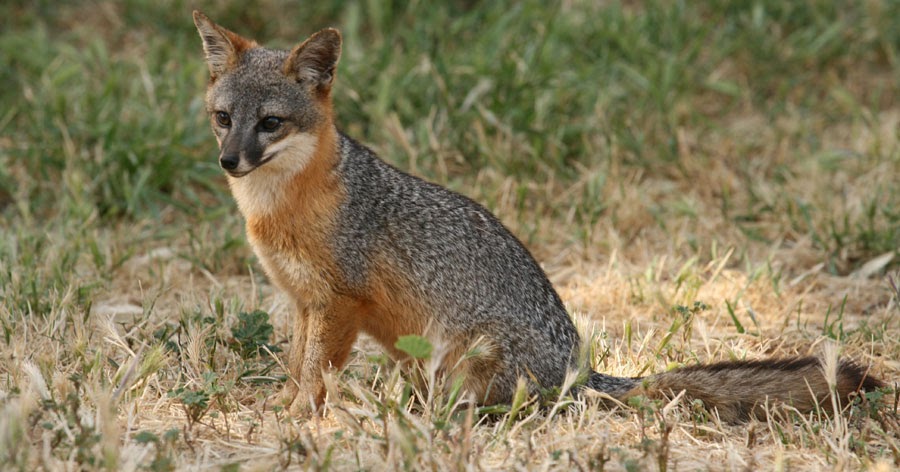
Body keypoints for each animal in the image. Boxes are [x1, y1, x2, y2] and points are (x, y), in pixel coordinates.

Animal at [192, 11, 884, 422]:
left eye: (271, 123)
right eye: (223, 118)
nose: (229, 161)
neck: (280, 210)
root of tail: (578, 372)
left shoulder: (338, 304)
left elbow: (315, 376)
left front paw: (296, 421)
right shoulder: (305, 302)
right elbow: (297, 368)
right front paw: (281, 408)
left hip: (468, 362)